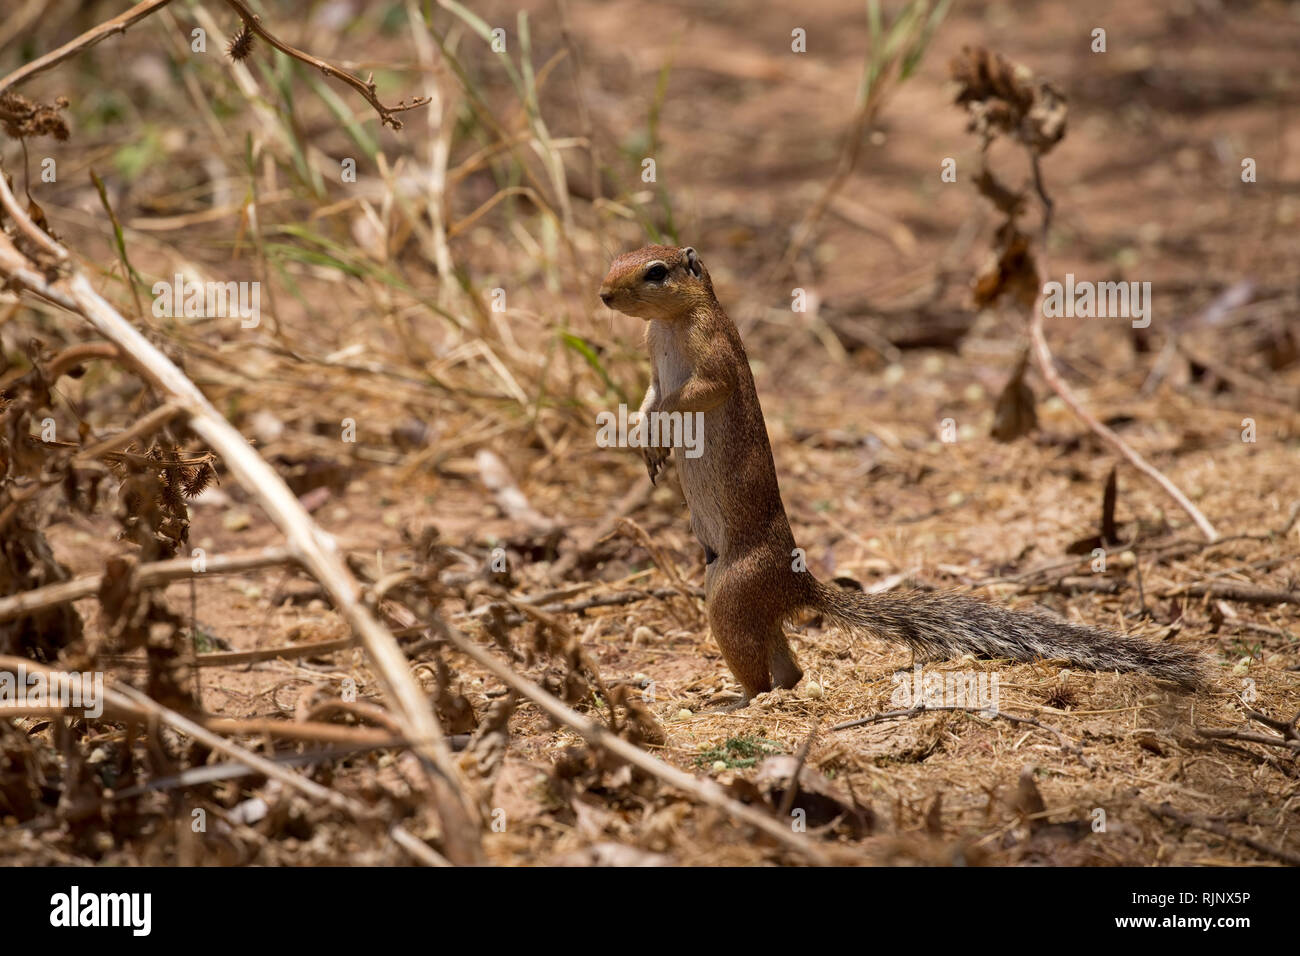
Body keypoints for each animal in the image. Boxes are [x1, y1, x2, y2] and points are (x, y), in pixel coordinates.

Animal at [597, 244, 1206, 703]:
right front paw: (643, 437)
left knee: (767, 675)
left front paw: (657, 428)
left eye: (656, 271)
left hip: (727, 594)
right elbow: (649, 395)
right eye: (618, 257)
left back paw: (738, 700)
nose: (603, 294)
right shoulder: (653, 360)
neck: (670, 324)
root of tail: (797, 580)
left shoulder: (713, 354)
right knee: (787, 666)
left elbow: (693, 393)